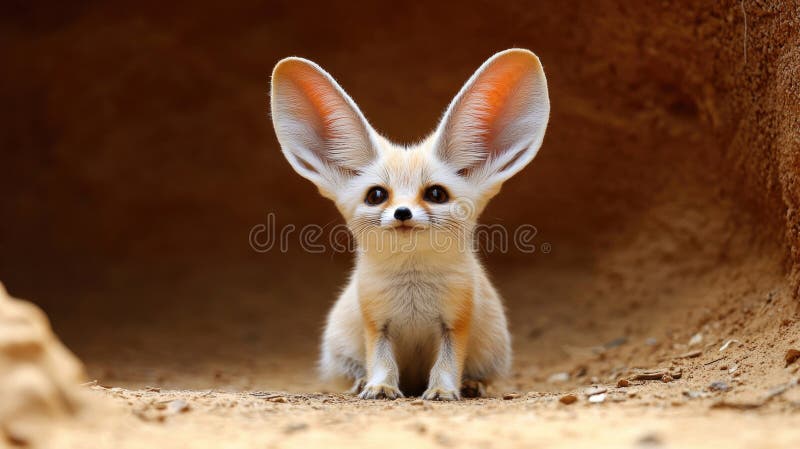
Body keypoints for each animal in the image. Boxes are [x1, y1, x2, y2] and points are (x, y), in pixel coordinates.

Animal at [269, 49, 550, 400]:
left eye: (436, 194)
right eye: (377, 195)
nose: (402, 212)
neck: (412, 283)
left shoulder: (456, 321)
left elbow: (447, 364)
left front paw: (444, 391)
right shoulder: (376, 322)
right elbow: (381, 361)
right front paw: (379, 387)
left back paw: (472, 384)